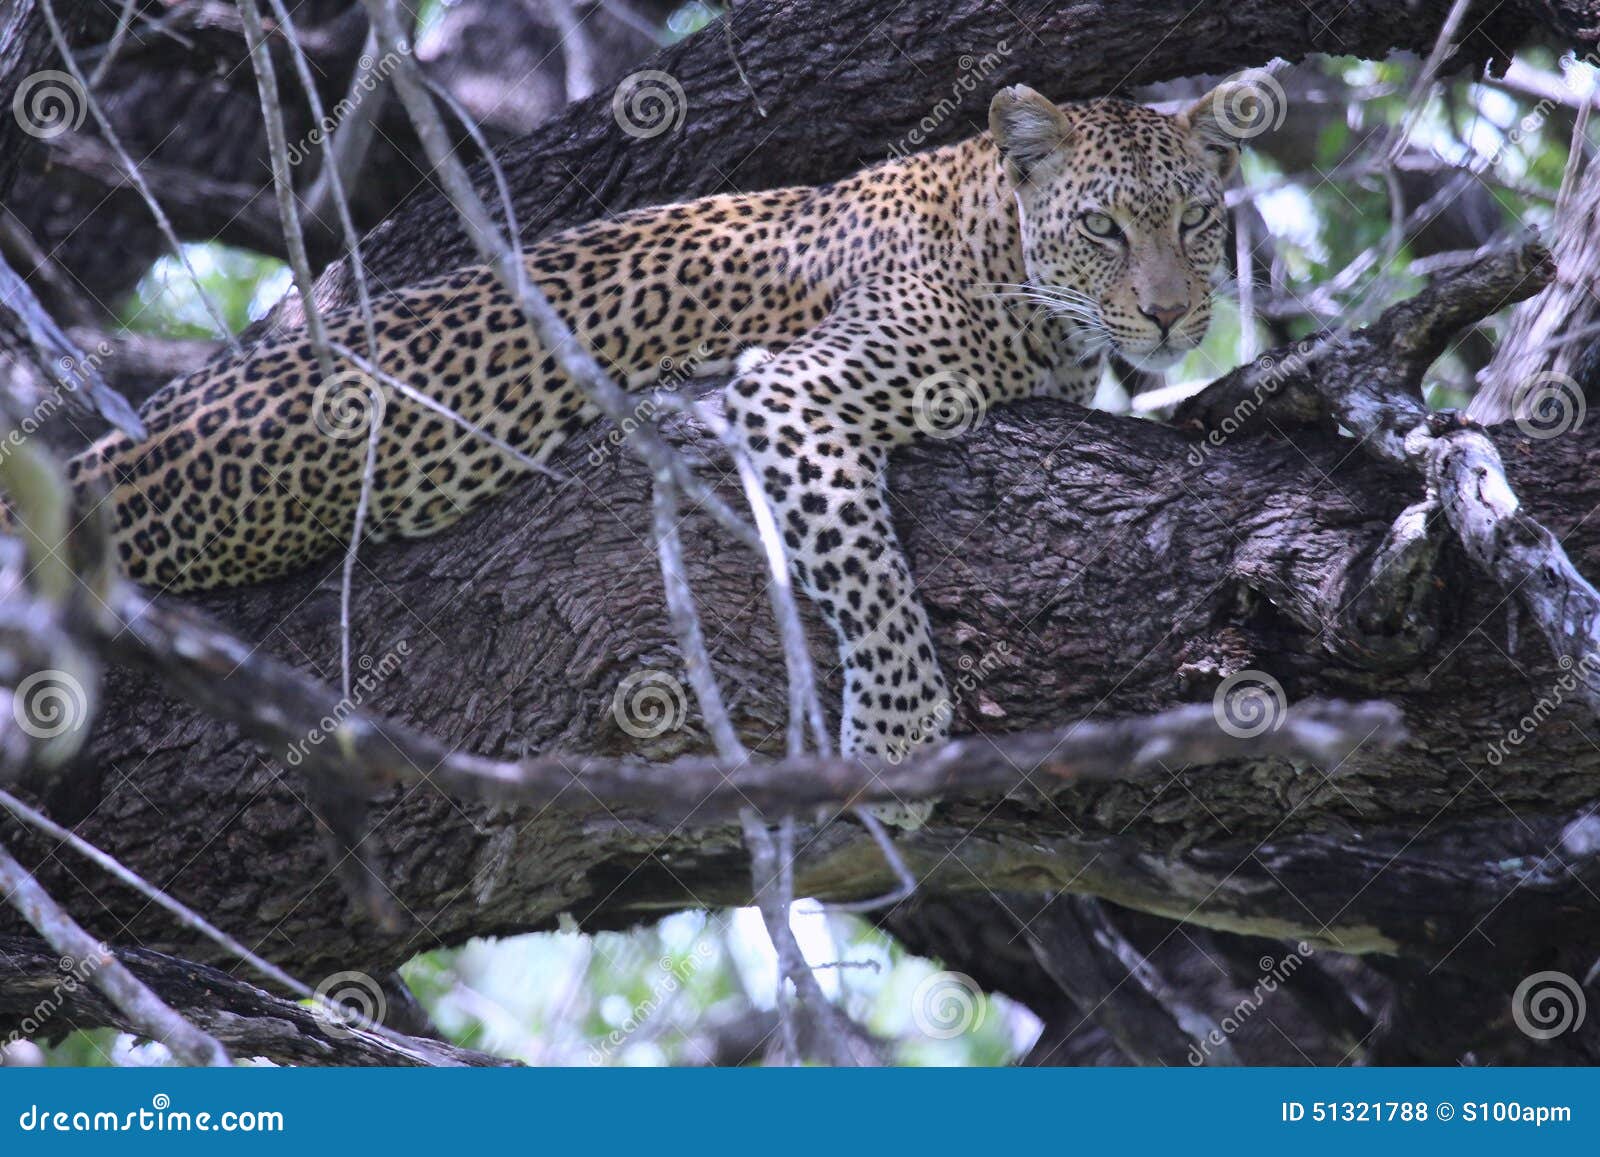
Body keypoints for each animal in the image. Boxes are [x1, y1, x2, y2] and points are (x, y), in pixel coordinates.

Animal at [19, 84, 1243, 811]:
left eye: (1196, 219)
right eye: (1104, 227)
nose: (1173, 314)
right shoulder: (792, 390)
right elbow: (875, 583)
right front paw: (894, 745)